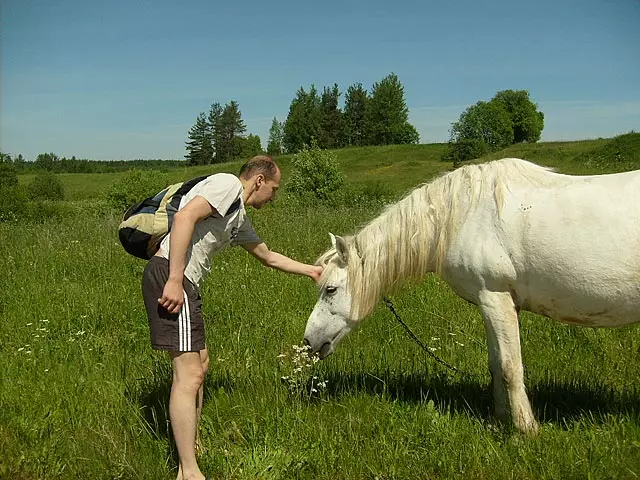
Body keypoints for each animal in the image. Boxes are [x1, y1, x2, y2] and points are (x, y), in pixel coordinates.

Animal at [306, 158, 640, 436]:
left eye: (330, 289)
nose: (309, 341)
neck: (464, 215)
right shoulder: (489, 304)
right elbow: (496, 364)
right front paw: (499, 419)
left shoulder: (496, 299)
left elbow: (510, 366)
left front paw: (526, 429)